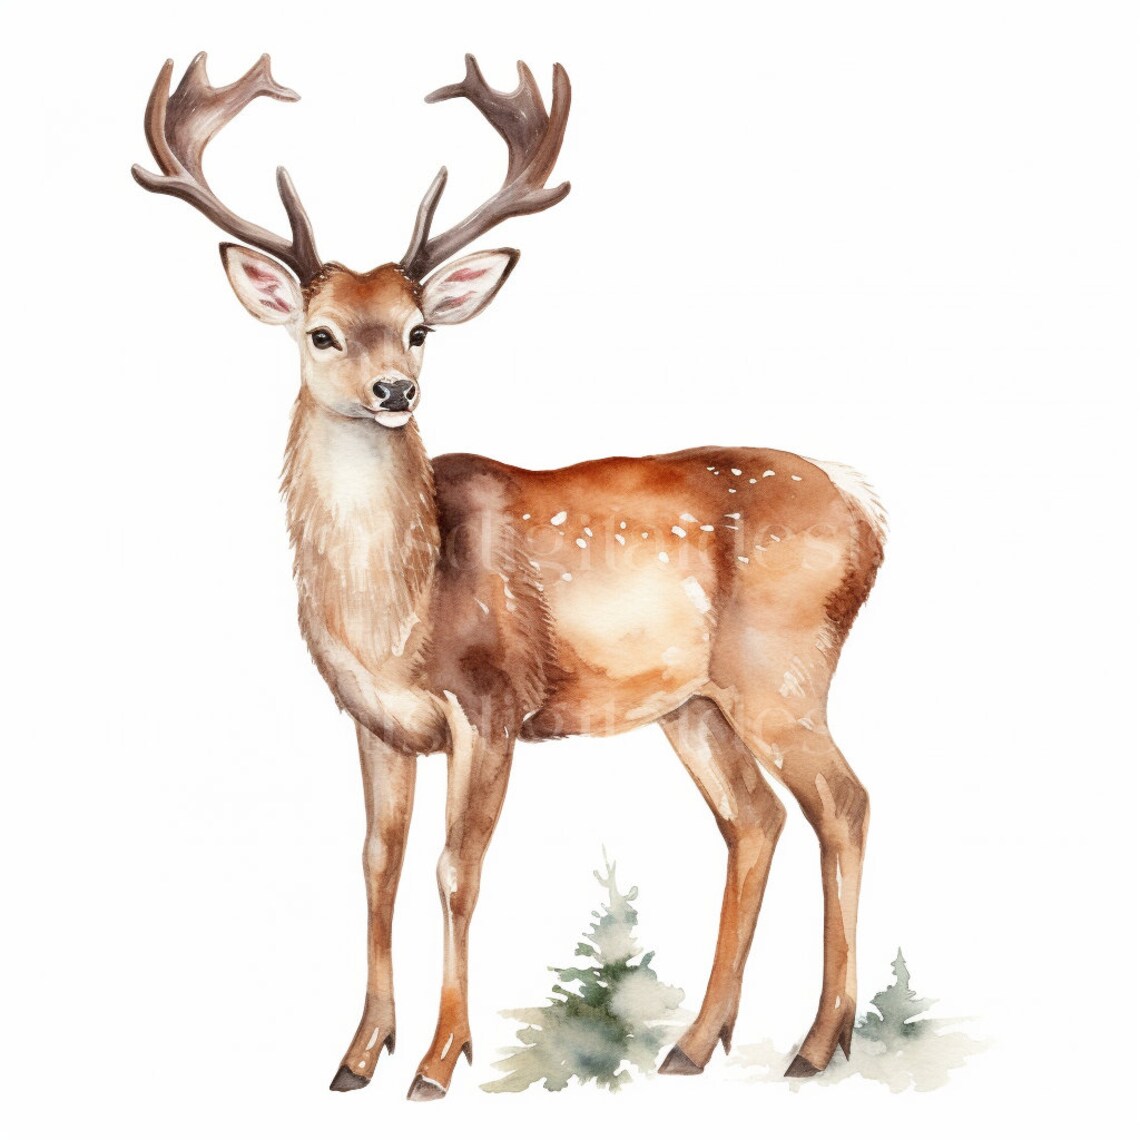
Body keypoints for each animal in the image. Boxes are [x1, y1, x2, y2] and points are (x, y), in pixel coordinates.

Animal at [132, 52, 886, 1101]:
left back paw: (818, 1045)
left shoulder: (489, 701)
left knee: (844, 803)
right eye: (323, 333)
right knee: (757, 819)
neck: (397, 613)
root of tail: (868, 508)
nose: (395, 392)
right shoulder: (374, 719)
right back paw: (695, 1044)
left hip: (783, 670)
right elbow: (378, 862)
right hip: (694, 703)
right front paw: (357, 1055)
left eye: (419, 330)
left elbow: (457, 869)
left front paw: (438, 1060)